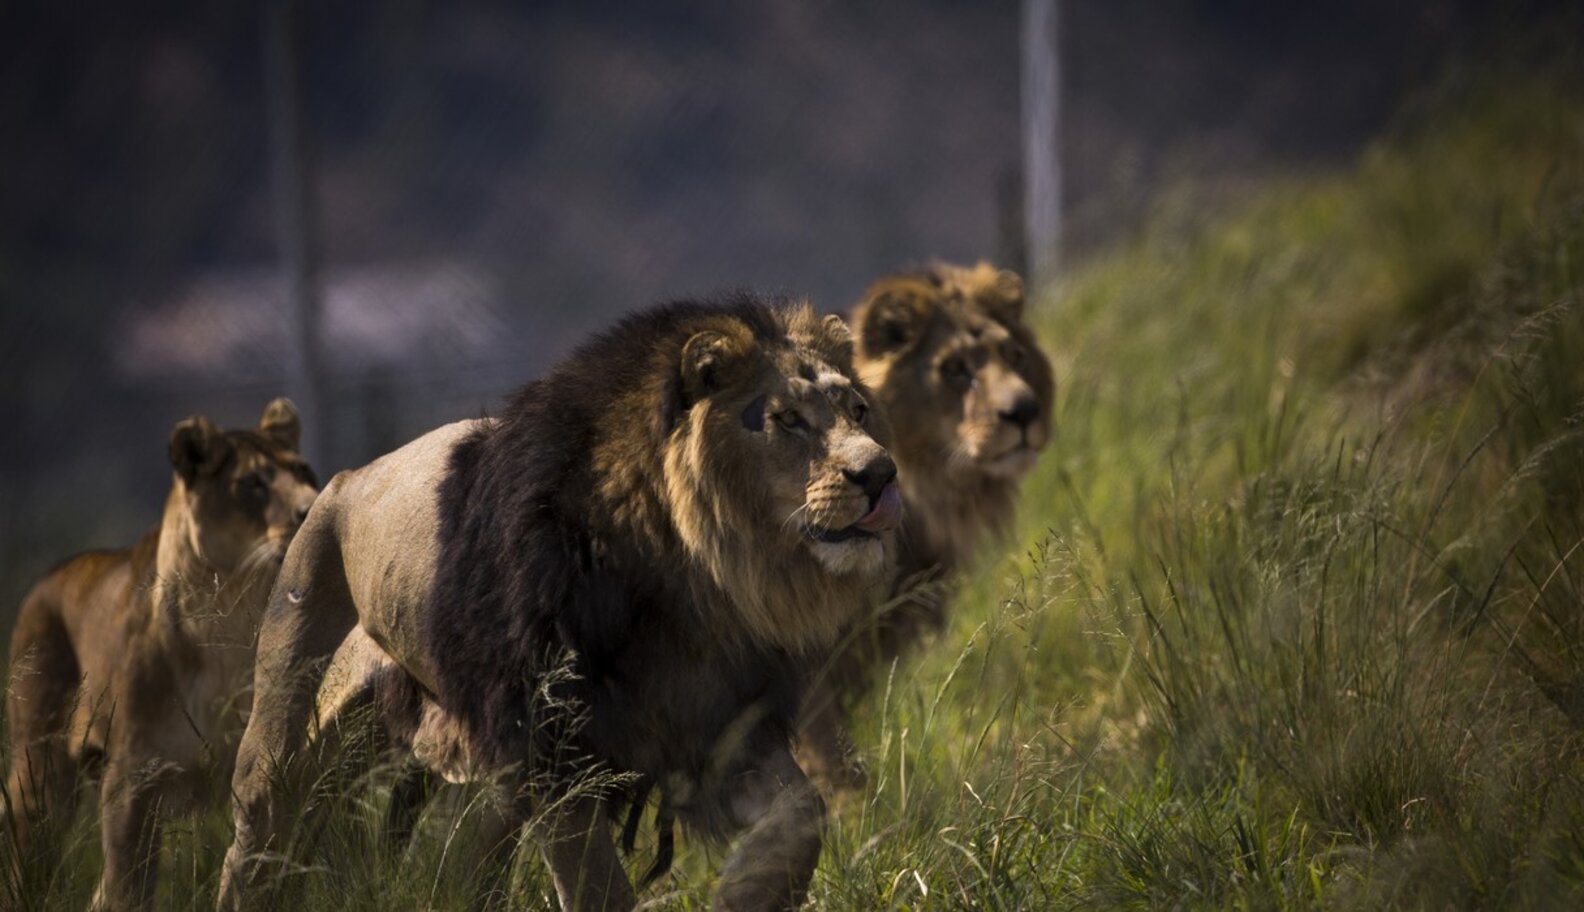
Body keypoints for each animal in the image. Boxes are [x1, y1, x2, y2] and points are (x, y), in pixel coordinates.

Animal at [2, 399, 318, 910]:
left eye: (303, 471)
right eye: (252, 483)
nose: (312, 505)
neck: (235, 607)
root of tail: (49, 577)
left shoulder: (267, 767)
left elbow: (263, 869)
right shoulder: (133, 778)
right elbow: (127, 889)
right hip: (40, 771)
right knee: (29, 861)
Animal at [216, 295, 902, 912]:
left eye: (859, 410)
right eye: (787, 420)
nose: (881, 474)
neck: (692, 579)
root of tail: (347, 479)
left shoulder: (720, 727)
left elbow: (803, 815)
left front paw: (742, 895)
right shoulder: (554, 748)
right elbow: (599, 889)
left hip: (486, 777)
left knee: (457, 872)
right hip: (290, 724)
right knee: (257, 840)